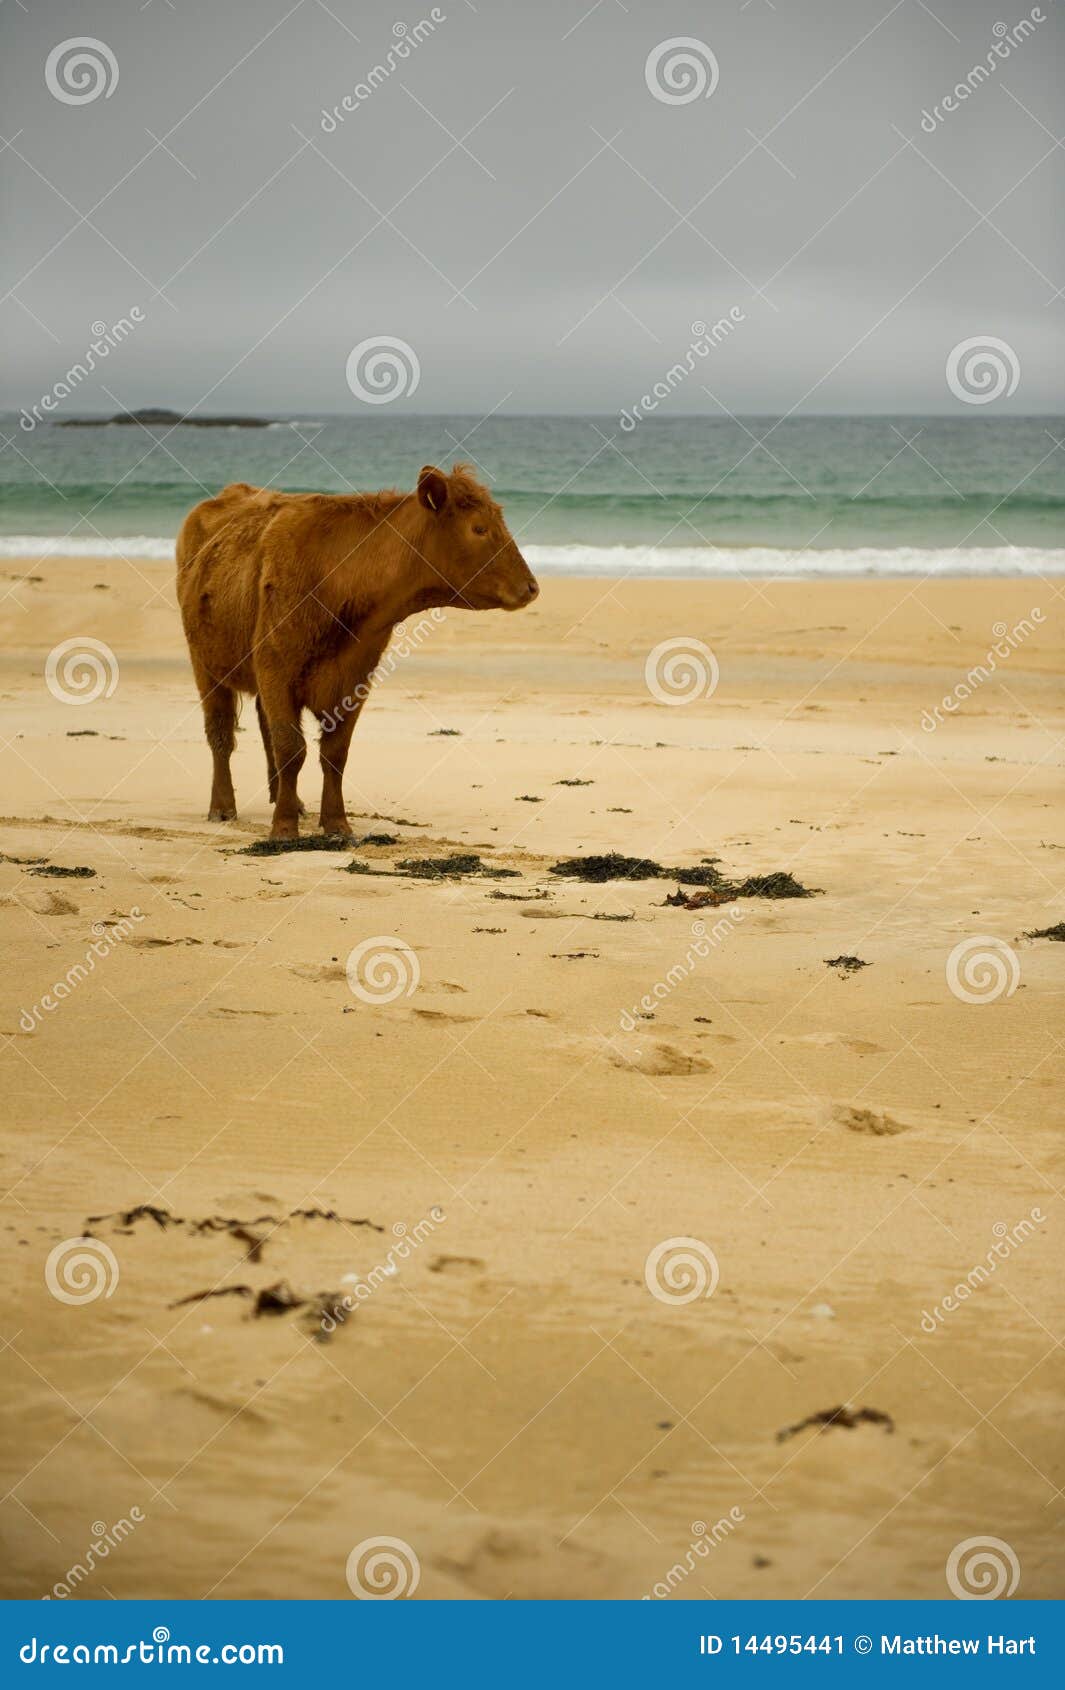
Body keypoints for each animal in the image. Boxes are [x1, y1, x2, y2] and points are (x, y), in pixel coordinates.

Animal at [176, 463, 538, 841]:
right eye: (479, 528)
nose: (531, 587)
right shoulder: (276, 670)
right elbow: (291, 748)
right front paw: (284, 829)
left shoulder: (354, 679)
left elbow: (334, 753)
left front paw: (336, 824)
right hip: (206, 666)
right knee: (220, 733)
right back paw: (222, 807)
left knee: (263, 730)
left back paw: (289, 801)